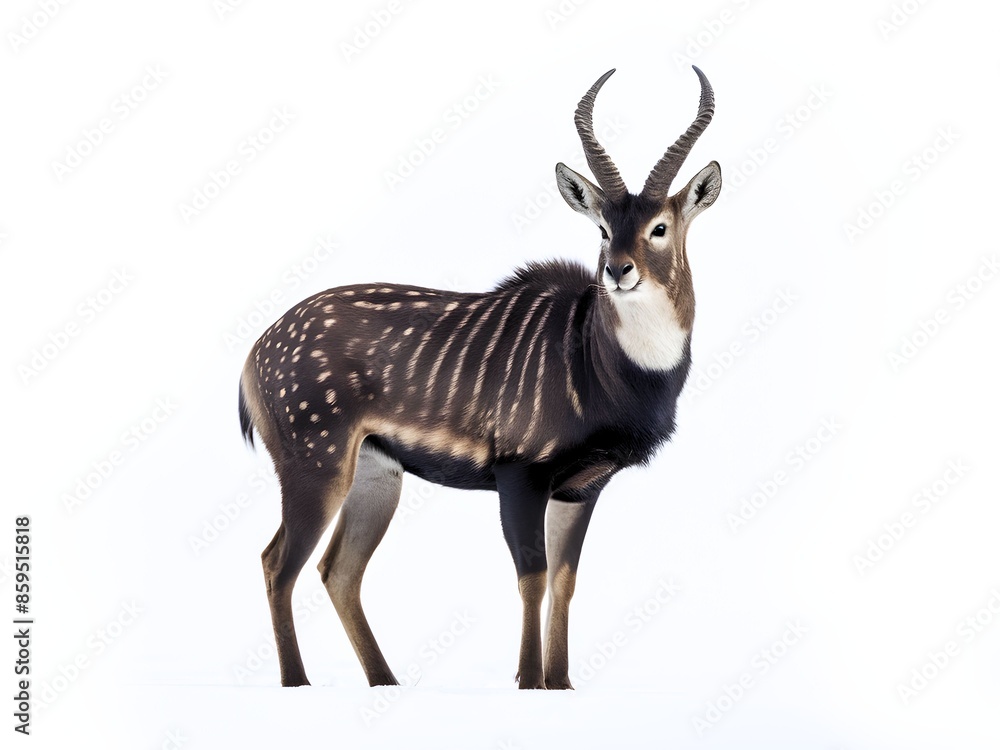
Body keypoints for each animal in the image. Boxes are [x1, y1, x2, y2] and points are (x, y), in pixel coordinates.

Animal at [239, 66, 720, 689]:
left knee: (337, 568)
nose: (619, 270)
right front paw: (528, 681)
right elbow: (531, 577)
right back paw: (298, 683)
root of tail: (251, 360)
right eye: (602, 228)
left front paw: (562, 683)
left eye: (660, 226)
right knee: (278, 561)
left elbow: (565, 581)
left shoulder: (583, 483)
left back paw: (386, 681)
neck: (607, 379)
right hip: (312, 451)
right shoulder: (519, 466)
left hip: (375, 469)